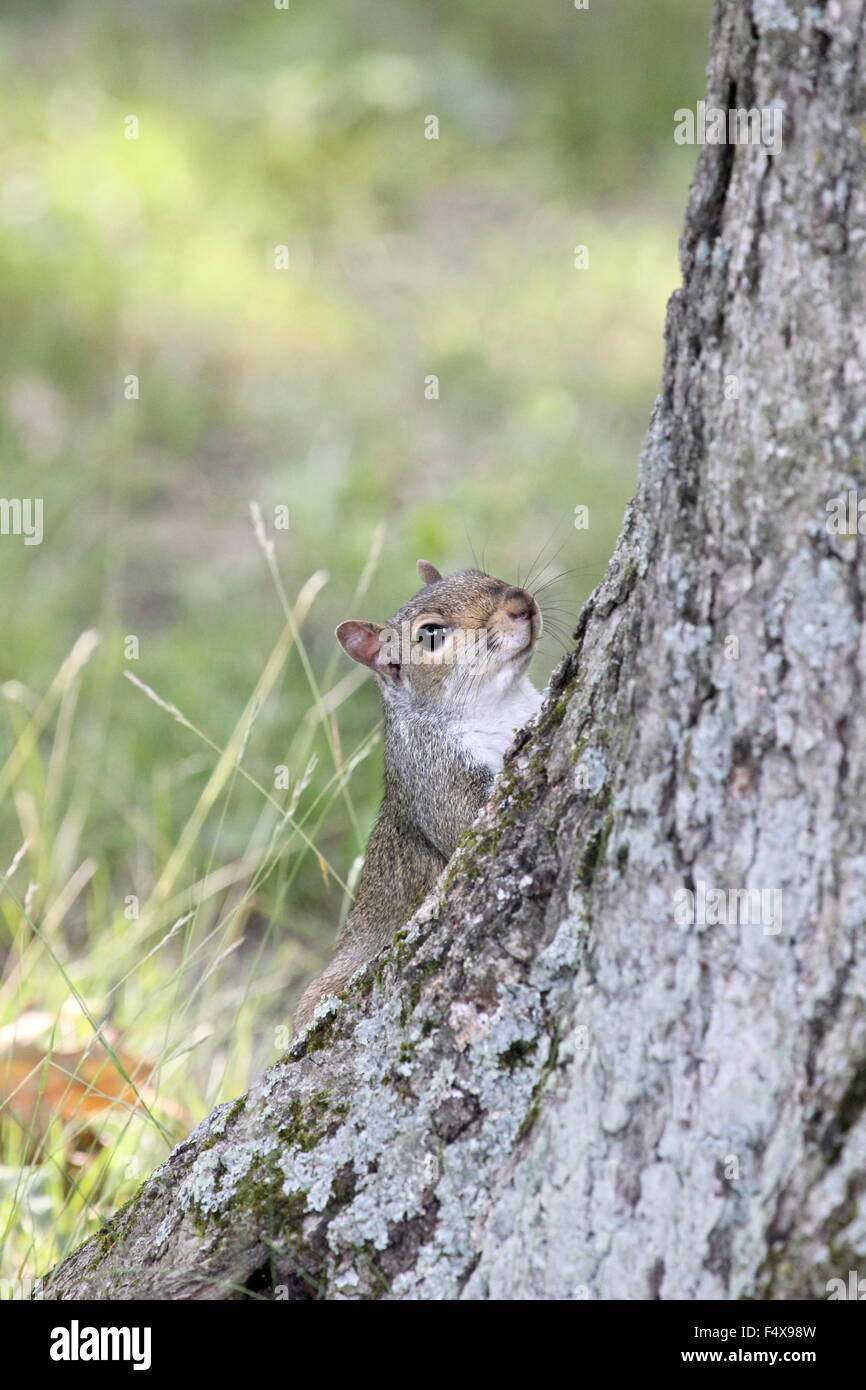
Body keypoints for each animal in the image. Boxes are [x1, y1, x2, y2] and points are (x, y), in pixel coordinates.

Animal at [293, 560, 543, 1032]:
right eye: (430, 635)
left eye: (478, 573)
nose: (520, 603)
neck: (500, 705)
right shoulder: (436, 775)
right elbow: (468, 821)